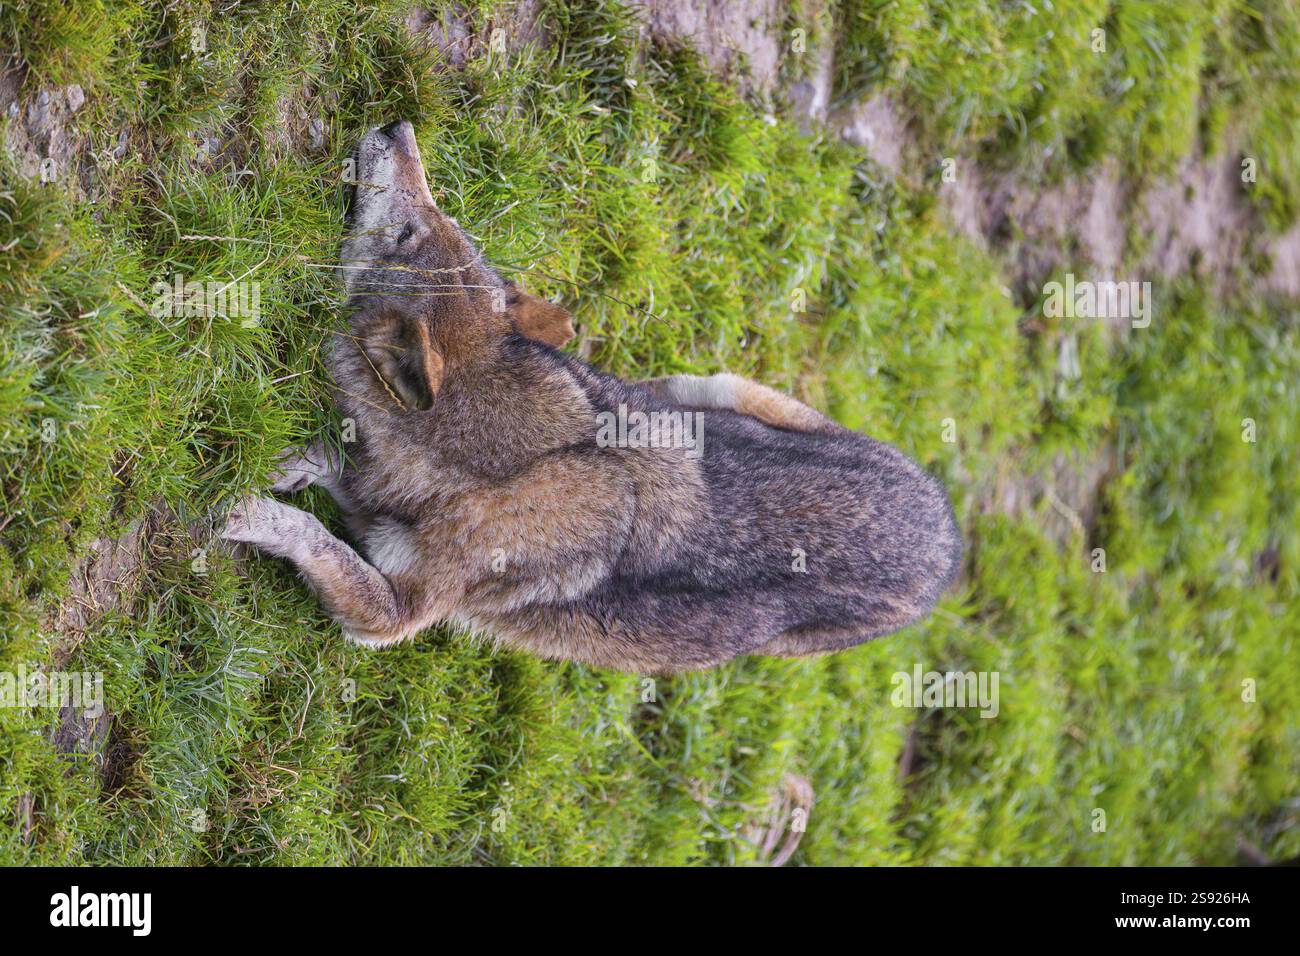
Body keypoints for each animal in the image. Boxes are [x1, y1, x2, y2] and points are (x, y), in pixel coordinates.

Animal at [222, 121, 962, 672]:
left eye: (411, 233)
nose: (398, 127)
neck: (500, 467)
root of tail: (948, 537)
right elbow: (337, 468)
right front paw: (296, 465)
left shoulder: (395, 614)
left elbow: (318, 536)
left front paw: (248, 510)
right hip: (702, 387)